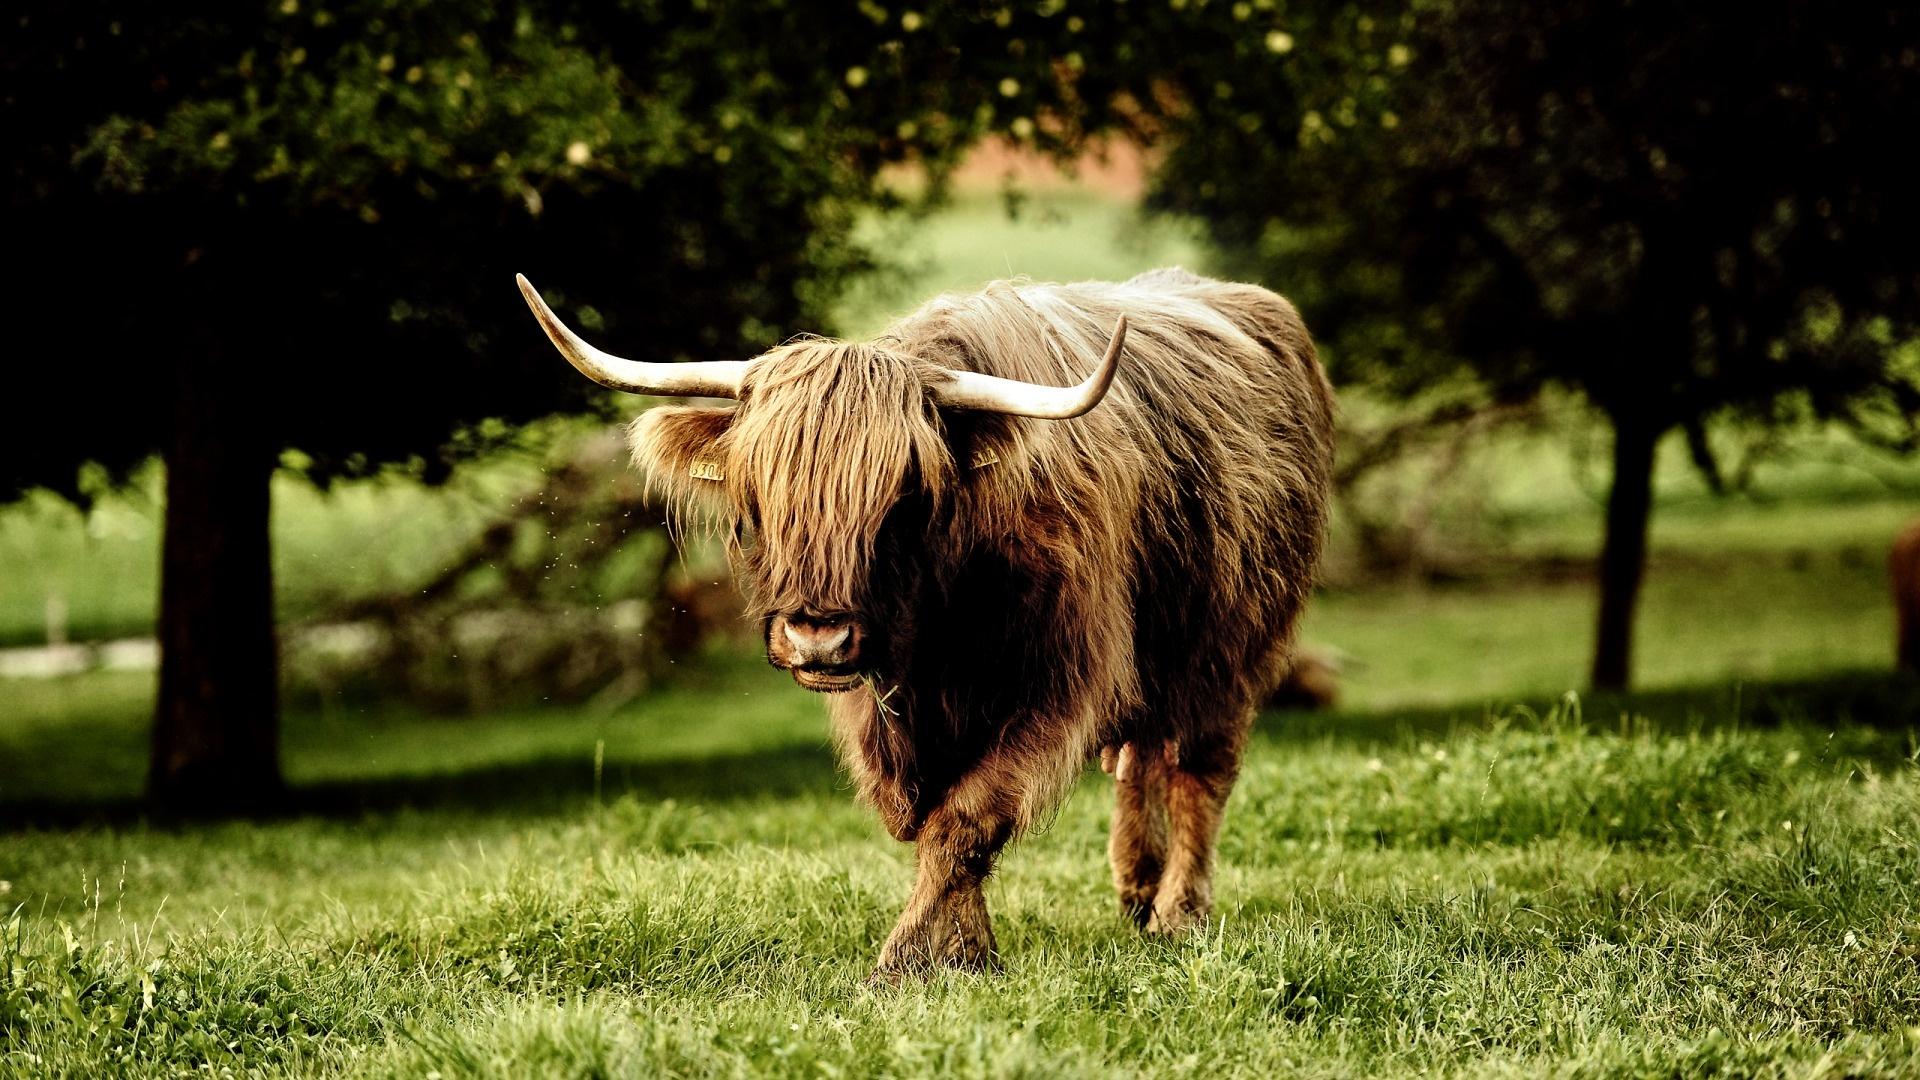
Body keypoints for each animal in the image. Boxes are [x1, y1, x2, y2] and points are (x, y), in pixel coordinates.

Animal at [518, 267, 1335, 978]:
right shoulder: (881, 710)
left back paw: (1177, 914)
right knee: (1141, 758)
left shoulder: (1059, 681)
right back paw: (1136, 889)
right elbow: (922, 819)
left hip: (1231, 644)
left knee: (1199, 768)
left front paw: (911, 958)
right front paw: (968, 948)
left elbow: (968, 817)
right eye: (758, 495)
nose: (818, 636)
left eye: (904, 497)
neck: (943, 619)